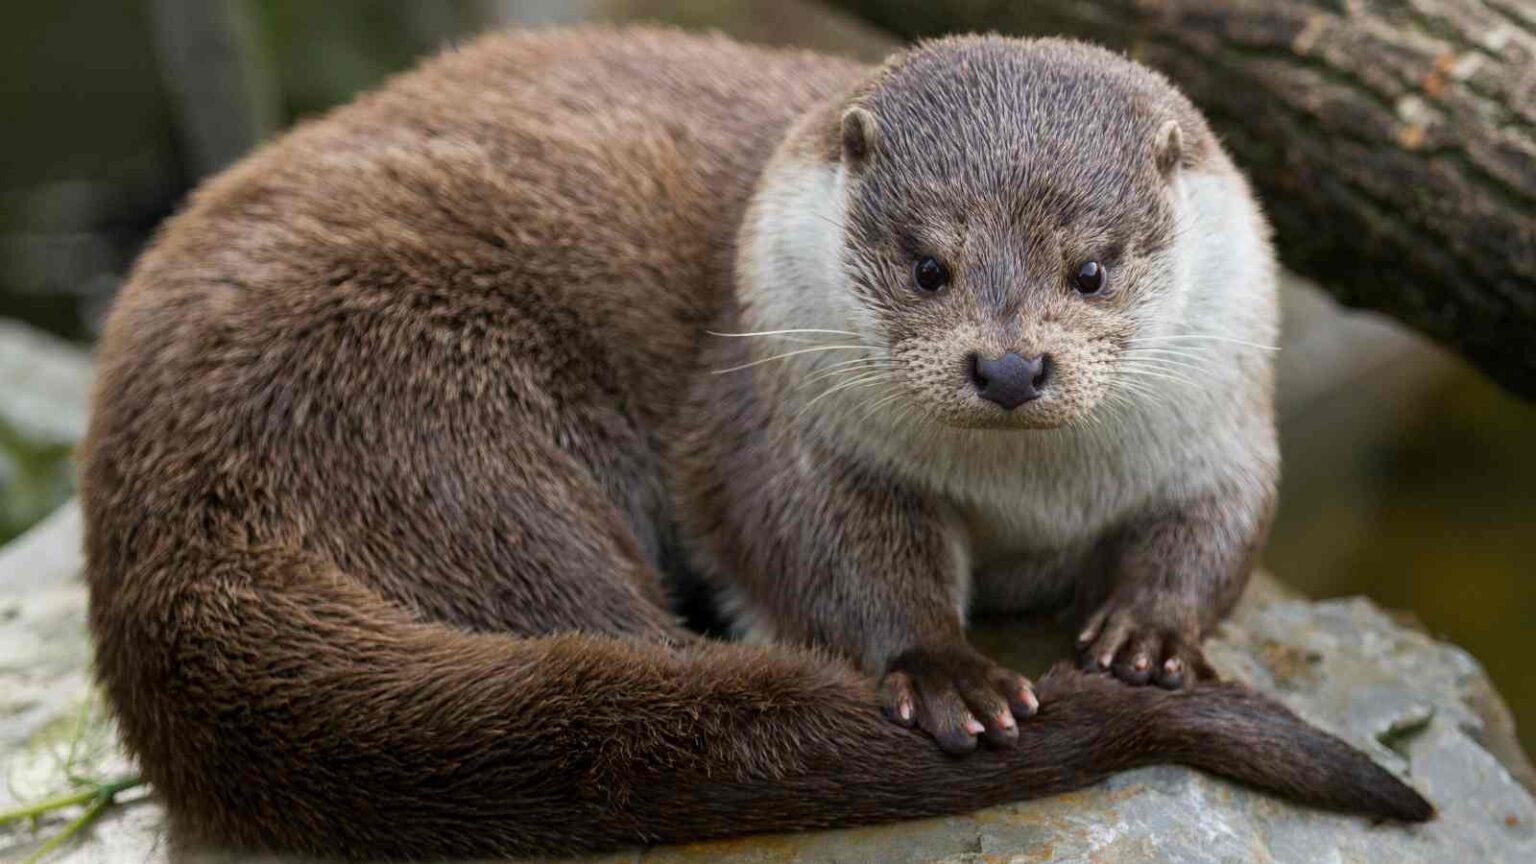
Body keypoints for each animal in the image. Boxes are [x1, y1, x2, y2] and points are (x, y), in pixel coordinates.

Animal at [81, 27, 1430, 859]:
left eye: (1091, 269)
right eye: (927, 265)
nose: (1006, 365)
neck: (1032, 500)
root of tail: (155, 520)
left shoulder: (1224, 415)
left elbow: (1219, 524)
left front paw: (1150, 631)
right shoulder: (777, 418)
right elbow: (814, 548)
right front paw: (951, 676)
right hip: (435, 428)